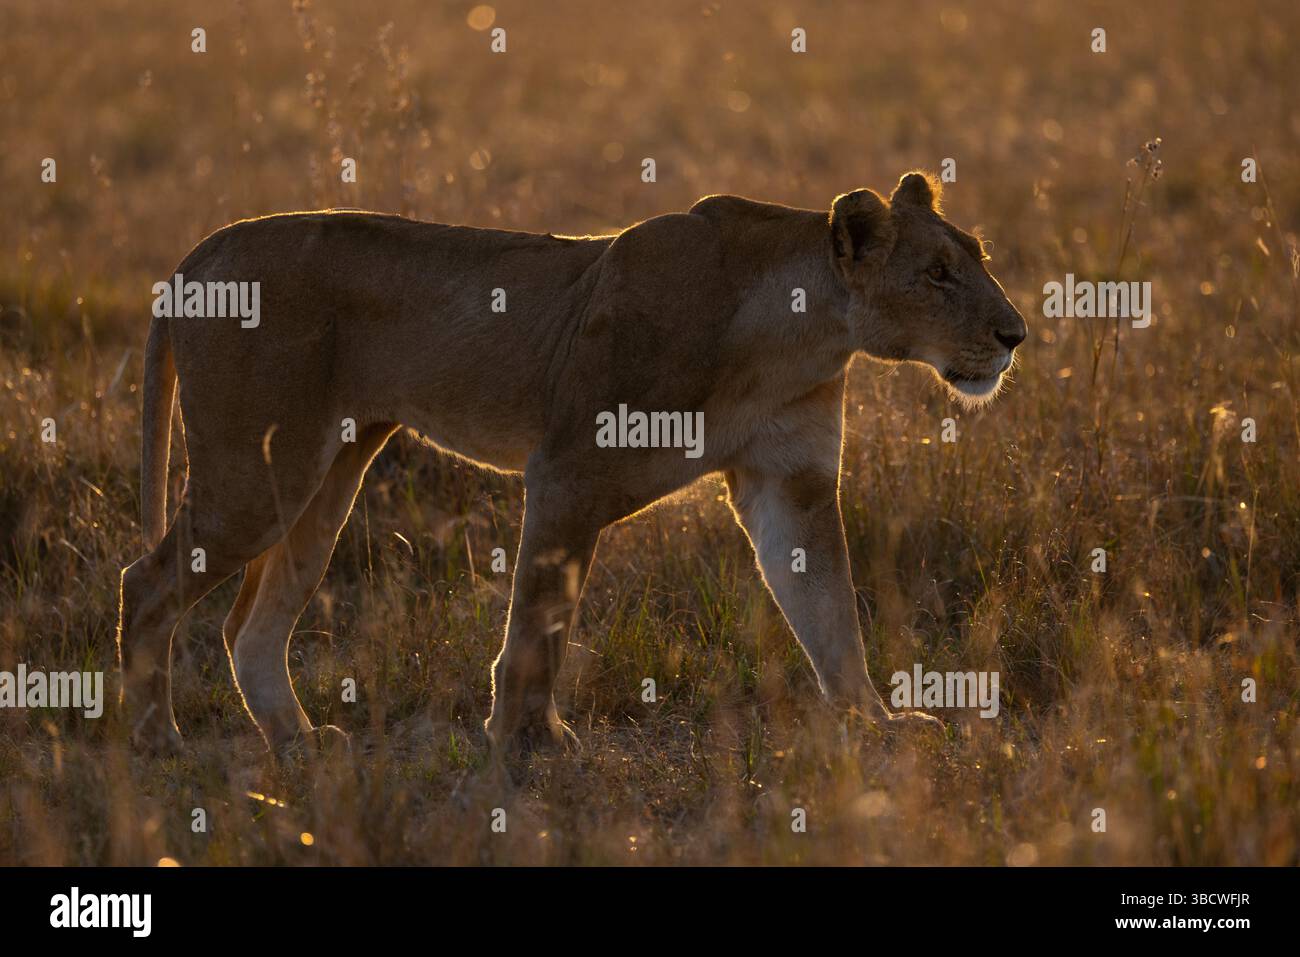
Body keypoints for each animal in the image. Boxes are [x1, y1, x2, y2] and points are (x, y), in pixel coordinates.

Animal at [116, 171, 1026, 756]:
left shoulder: (791, 483)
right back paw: (157, 738)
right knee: (149, 581)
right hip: (253, 474)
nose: (1016, 333)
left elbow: (830, 611)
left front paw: (876, 722)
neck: (797, 333)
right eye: (937, 274)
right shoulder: (567, 469)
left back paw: (297, 740)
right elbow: (540, 616)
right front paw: (528, 741)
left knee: (249, 624)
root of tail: (209, 245)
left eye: (979, 257)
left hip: (327, 469)